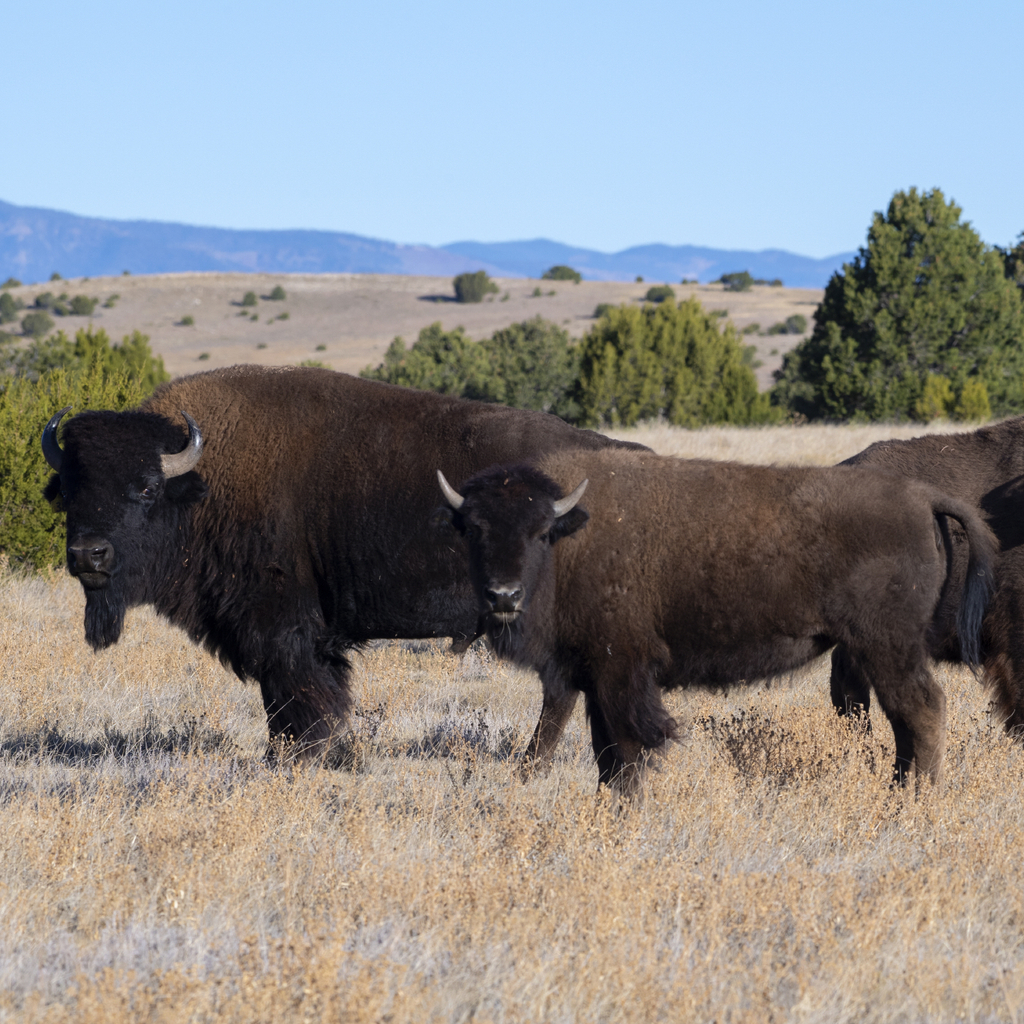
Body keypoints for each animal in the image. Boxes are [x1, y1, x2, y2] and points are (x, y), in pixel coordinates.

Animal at [42, 364, 646, 761]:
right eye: (70, 488)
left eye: (146, 487)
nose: (89, 554)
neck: (199, 483)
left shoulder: (281, 630)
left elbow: (298, 700)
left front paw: (296, 759)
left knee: (565, 688)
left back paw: (538, 761)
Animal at [436, 450, 996, 793]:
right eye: (474, 529)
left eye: (538, 531)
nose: (504, 595)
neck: (571, 533)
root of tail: (922, 497)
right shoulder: (588, 676)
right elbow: (594, 749)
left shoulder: (619, 673)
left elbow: (626, 749)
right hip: (877, 651)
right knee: (907, 721)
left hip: (888, 647)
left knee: (921, 712)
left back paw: (913, 798)